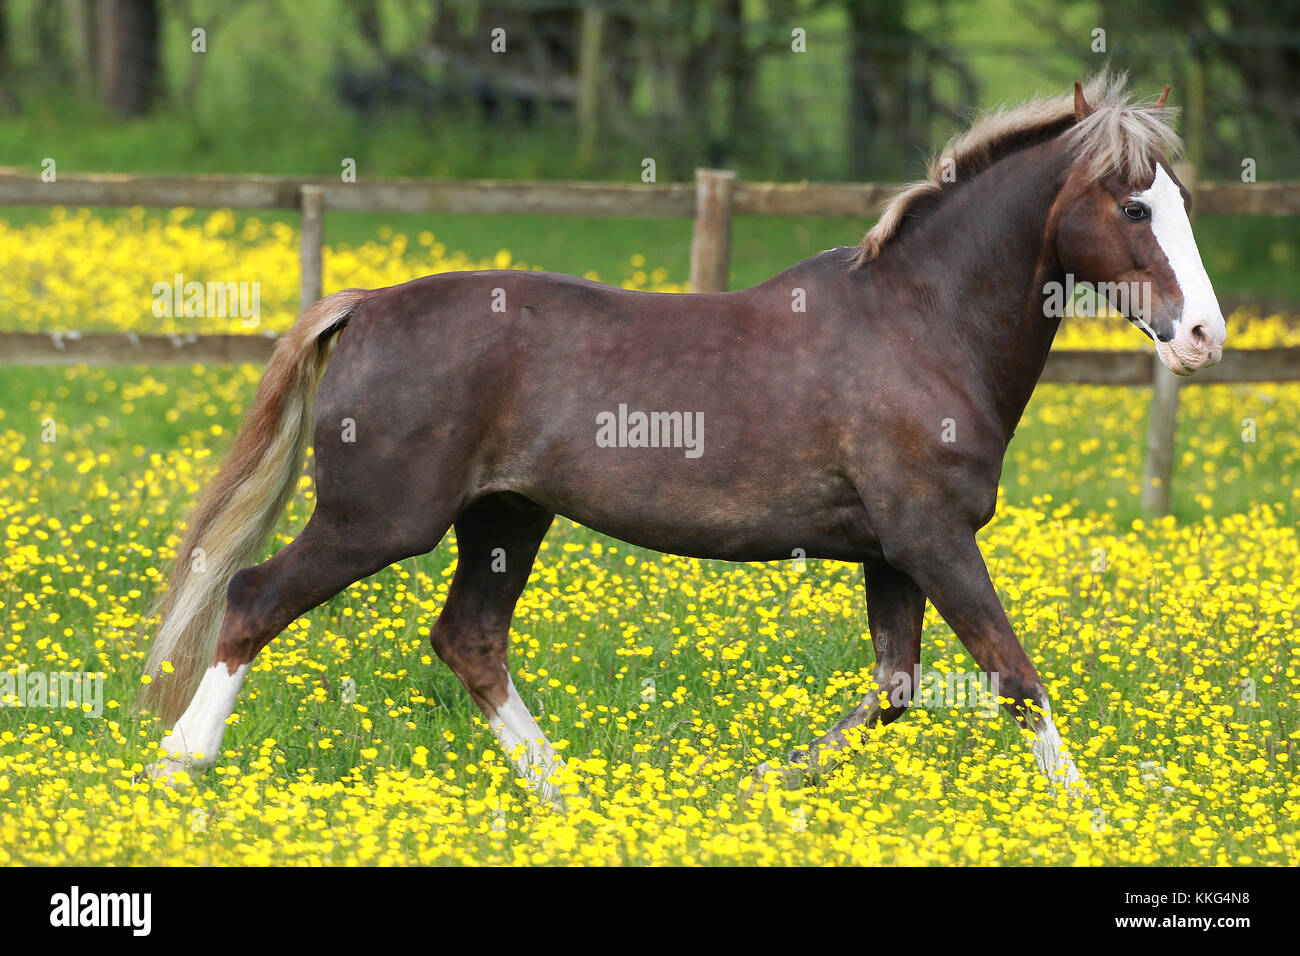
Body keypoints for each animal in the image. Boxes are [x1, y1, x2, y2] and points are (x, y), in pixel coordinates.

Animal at [141, 73, 1225, 803]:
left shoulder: (893, 553)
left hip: (505, 518)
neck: (921, 326)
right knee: (254, 598)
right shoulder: (933, 538)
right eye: (1134, 203)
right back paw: (178, 766)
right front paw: (1088, 816)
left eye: (1181, 199)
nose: (1204, 338)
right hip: (380, 519)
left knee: (468, 640)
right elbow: (1016, 677)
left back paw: (569, 801)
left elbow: (894, 690)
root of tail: (365, 304)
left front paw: (753, 789)